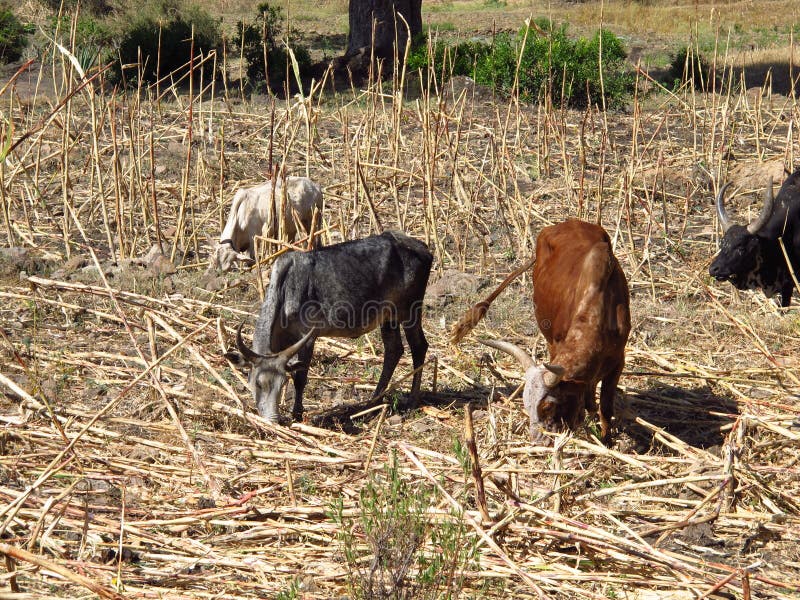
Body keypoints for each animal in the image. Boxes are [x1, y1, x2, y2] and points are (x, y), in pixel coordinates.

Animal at [224, 231, 433, 423]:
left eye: (282, 383)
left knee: (419, 346)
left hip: (410, 310)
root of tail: (424, 249)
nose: (272, 419)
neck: (285, 290)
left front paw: (297, 414)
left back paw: (411, 401)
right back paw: (372, 402)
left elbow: (300, 378)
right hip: (388, 316)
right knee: (394, 349)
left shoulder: (308, 337)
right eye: (258, 384)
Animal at [451, 219, 630, 445]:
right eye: (526, 404)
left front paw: (607, 441)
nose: (538, 440)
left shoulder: (618, 360)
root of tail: (565, 223)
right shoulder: (556, 345)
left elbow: (606, 407)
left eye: (548, 406)